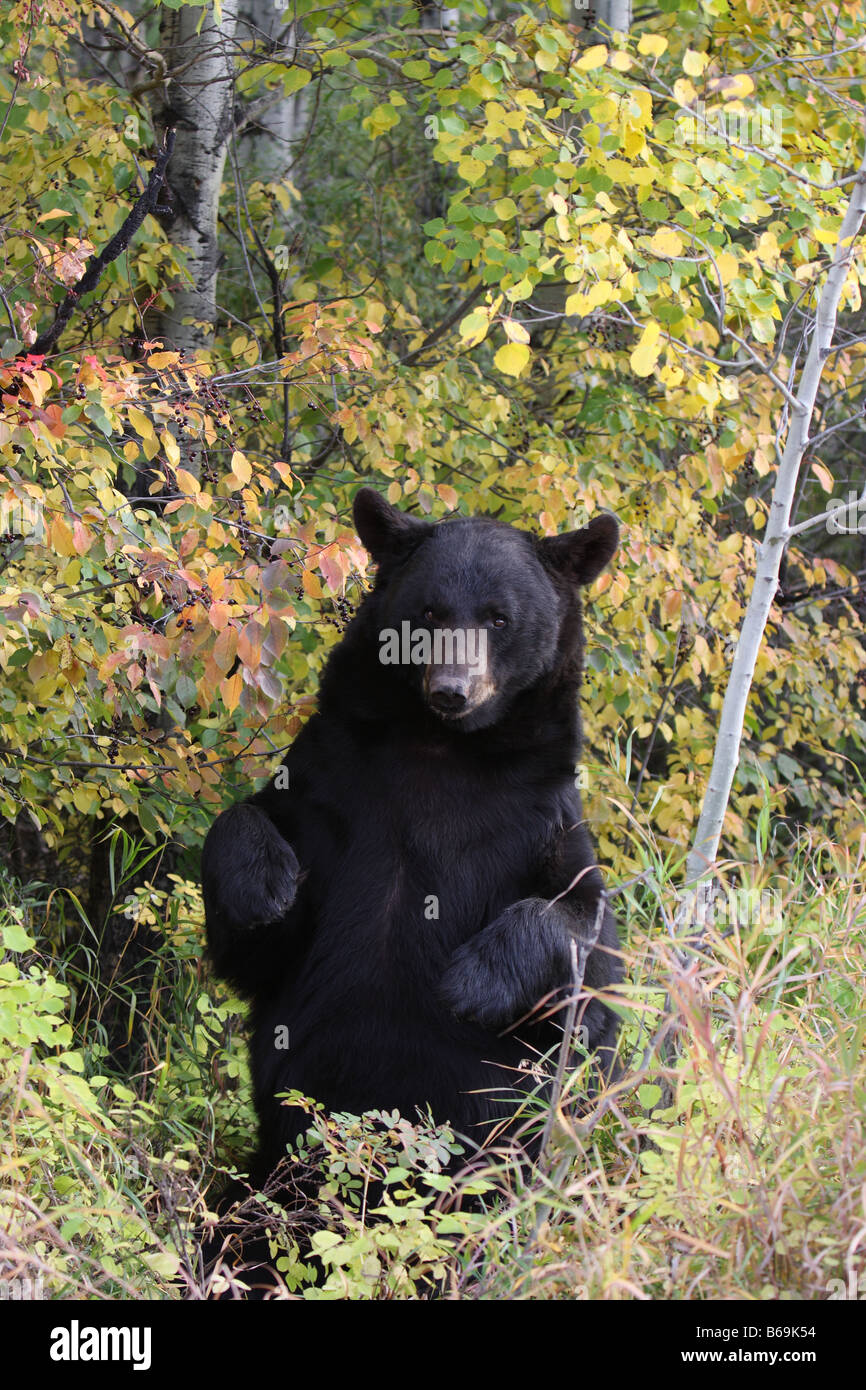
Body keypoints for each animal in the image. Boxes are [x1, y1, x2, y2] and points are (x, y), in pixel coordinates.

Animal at [201, 487, 622, 1188]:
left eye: (500, 618)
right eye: (429, 609)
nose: (452, 690)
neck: (440, 749)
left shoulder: (537, 820)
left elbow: (585, 947)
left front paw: (474, 980)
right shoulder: (330, 784)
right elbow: (250, 913)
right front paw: (264, 888)